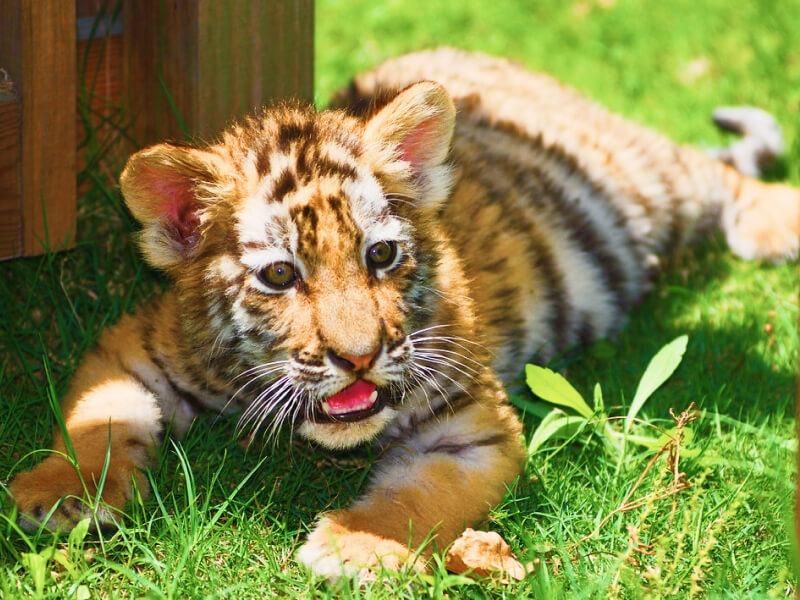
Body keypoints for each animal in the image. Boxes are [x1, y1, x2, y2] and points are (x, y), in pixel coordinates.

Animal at [8, 48, 798, 579]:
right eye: (280, 274)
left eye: (381, 256)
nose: (357, 358)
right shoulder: (134, 346)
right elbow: (100, 419)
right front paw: (61, 494)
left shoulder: (474, 428)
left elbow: (421, 495)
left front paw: (356, 546)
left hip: (647, 178)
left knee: (721, 177)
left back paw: (778, 225)